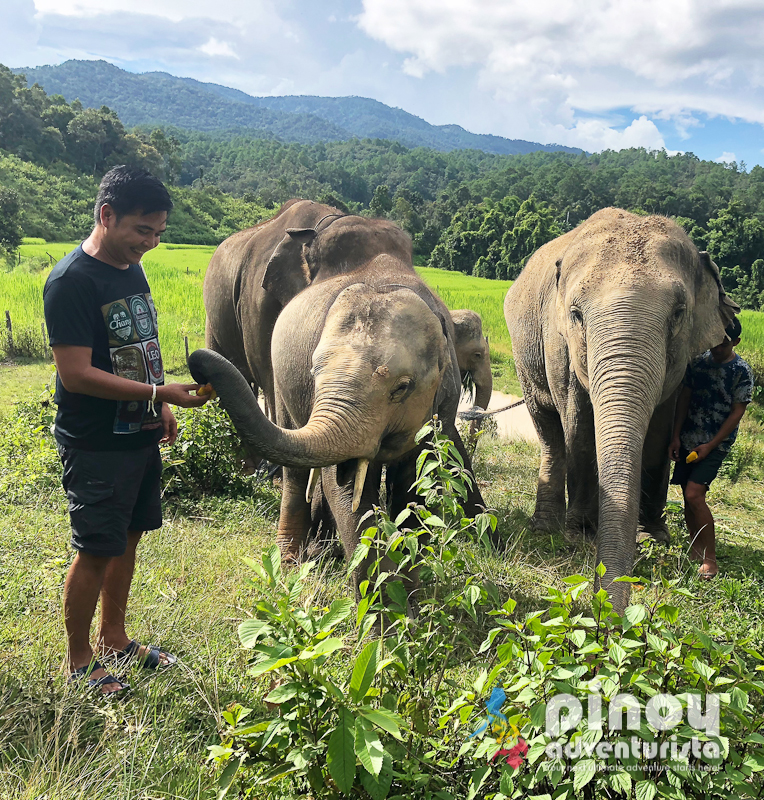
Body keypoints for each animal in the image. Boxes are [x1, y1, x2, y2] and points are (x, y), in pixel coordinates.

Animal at [504, 208, 738, 611]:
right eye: (576, 314)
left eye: (679, 313)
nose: (608, 611)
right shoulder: (558, 344)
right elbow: (579, 425)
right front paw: (581, 534)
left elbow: (659, 433)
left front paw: (652, 538)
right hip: (525, 360)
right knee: (549, 431)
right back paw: (546, 527)